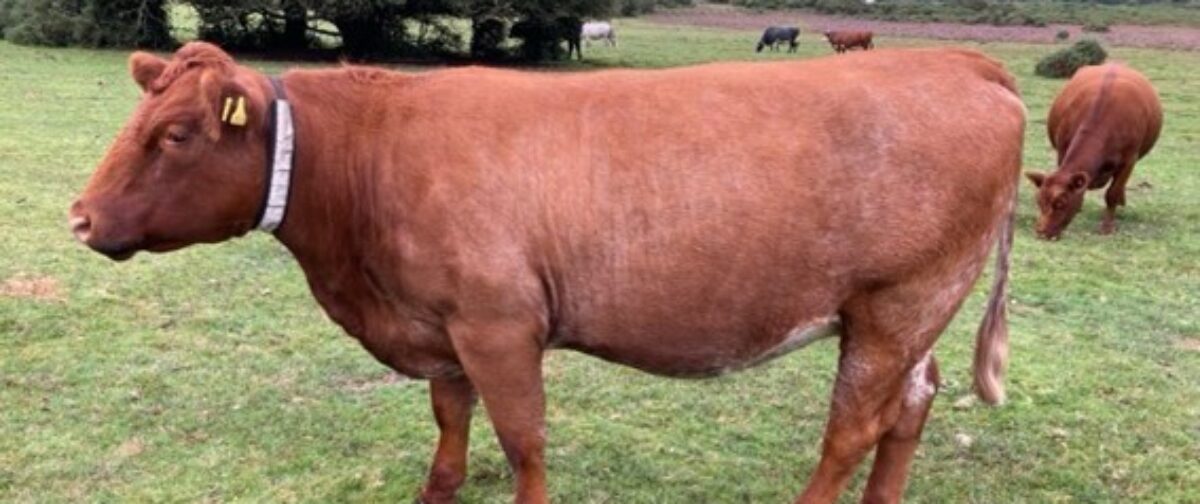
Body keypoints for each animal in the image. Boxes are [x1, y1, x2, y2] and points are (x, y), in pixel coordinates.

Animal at [70, 42, 1024, 504]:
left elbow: (522, 439)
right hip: (912, 317)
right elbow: (450, 421)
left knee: (852, 431)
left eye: (176, 134)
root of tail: (957, 61)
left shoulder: (498, 325)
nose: (77, 216)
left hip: (896, 305)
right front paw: (437, 492)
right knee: (912, 405)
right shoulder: (441, 324)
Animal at [1026, 63, 1162, 238]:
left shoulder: (1129, 160)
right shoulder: (1062, 151)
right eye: (1039, 201)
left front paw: (1107, 227)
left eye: (1061, 203)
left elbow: (1112, 193)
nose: (1041, 232)